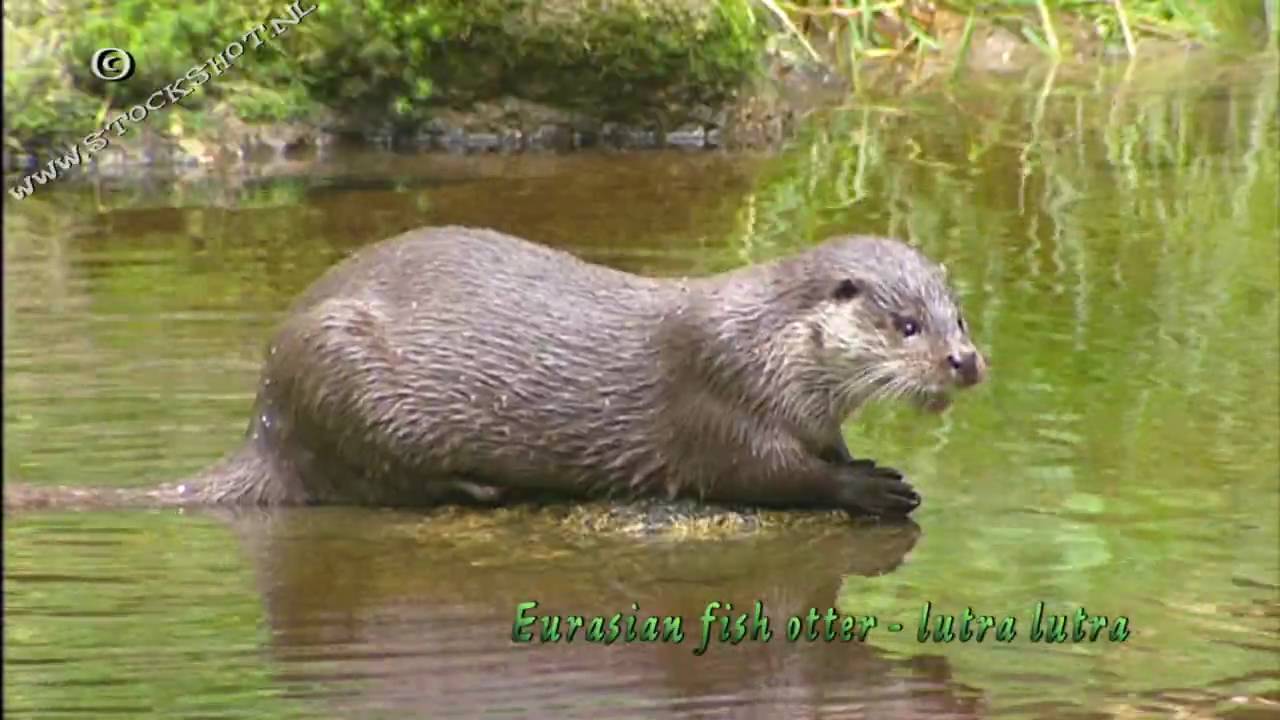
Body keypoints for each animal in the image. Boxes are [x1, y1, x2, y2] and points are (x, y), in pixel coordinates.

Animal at [6, 227, 985, 517]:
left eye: (960, 315)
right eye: (905, 325)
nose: (966, 362)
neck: (762, 344)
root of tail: (265, 419)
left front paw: (863, 463)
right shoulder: (716, 400)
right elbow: (763, 474)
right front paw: (870, 488)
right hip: (344, 374)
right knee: (374, 485)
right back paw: (482, 488)